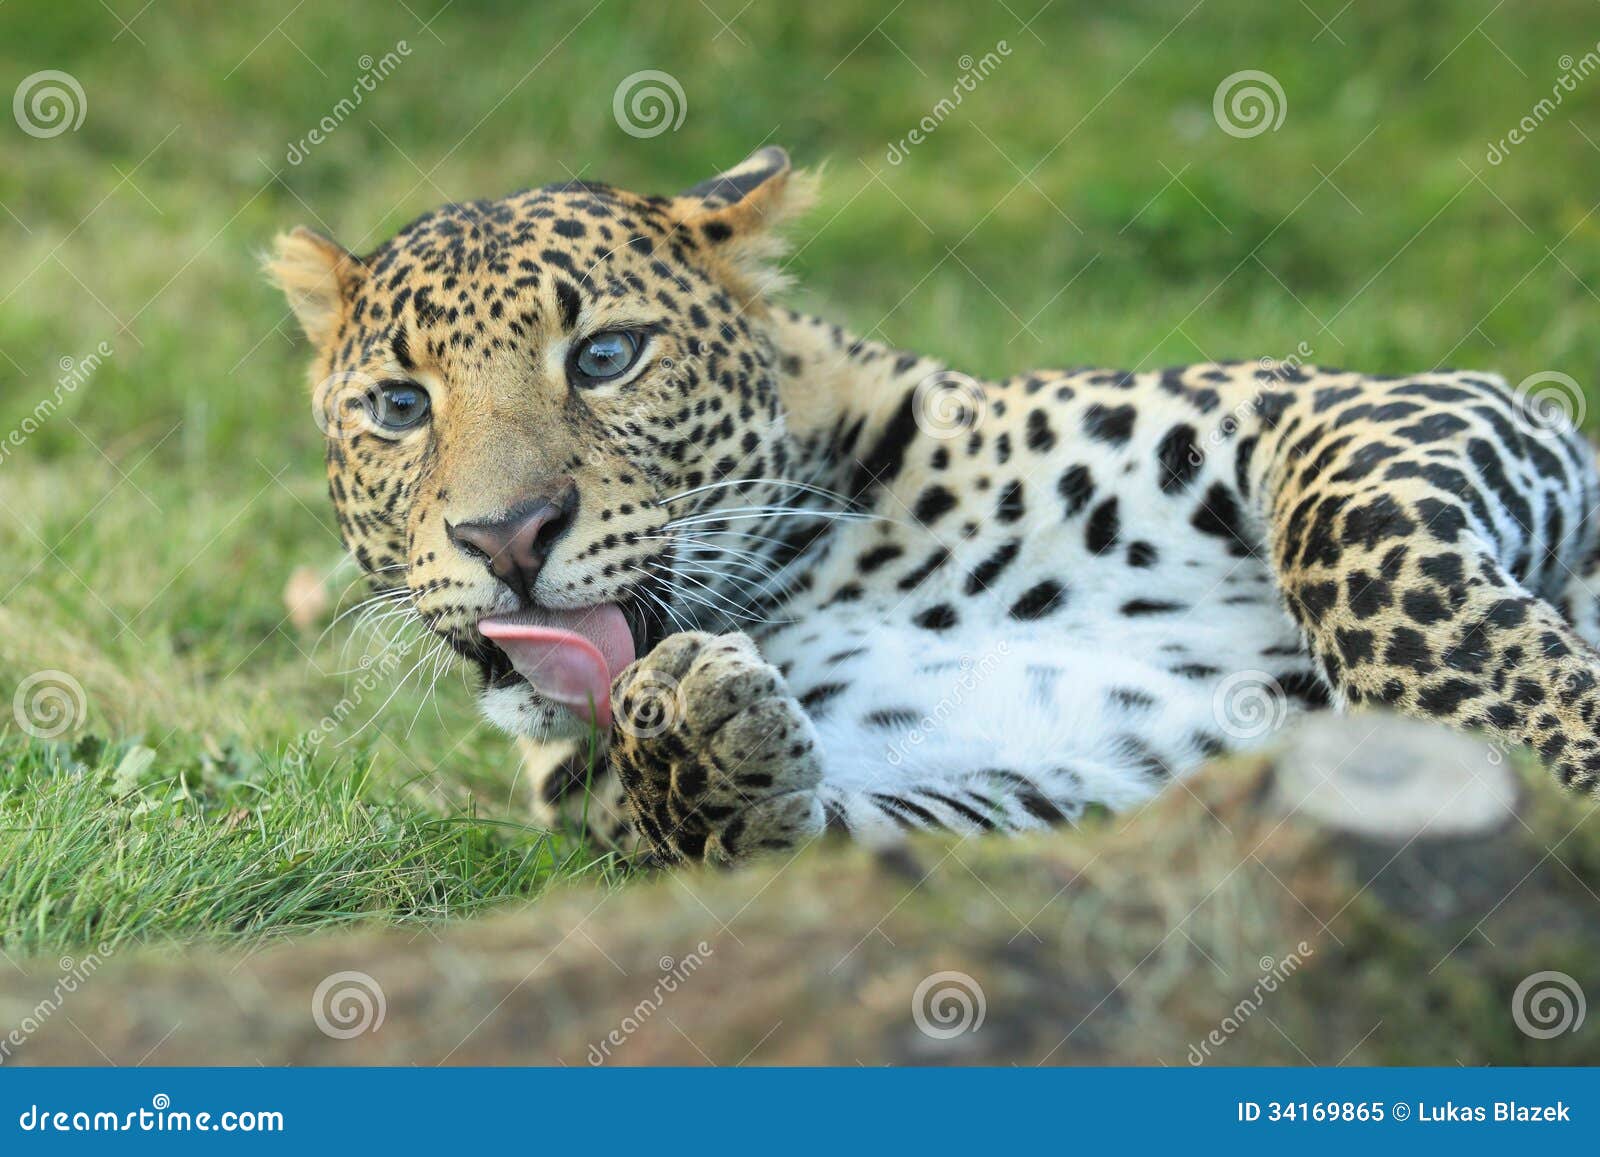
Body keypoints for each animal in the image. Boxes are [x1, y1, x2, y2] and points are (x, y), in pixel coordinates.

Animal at [270, 145, 1600, 866]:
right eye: (398, 404)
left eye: (604, 356)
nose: (507, 536)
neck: (817, 571)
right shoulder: (1076, 776)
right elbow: (759, 842)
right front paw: (693, 735)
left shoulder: (1394, 407)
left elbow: (1360, 550)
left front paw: (1552, 752)